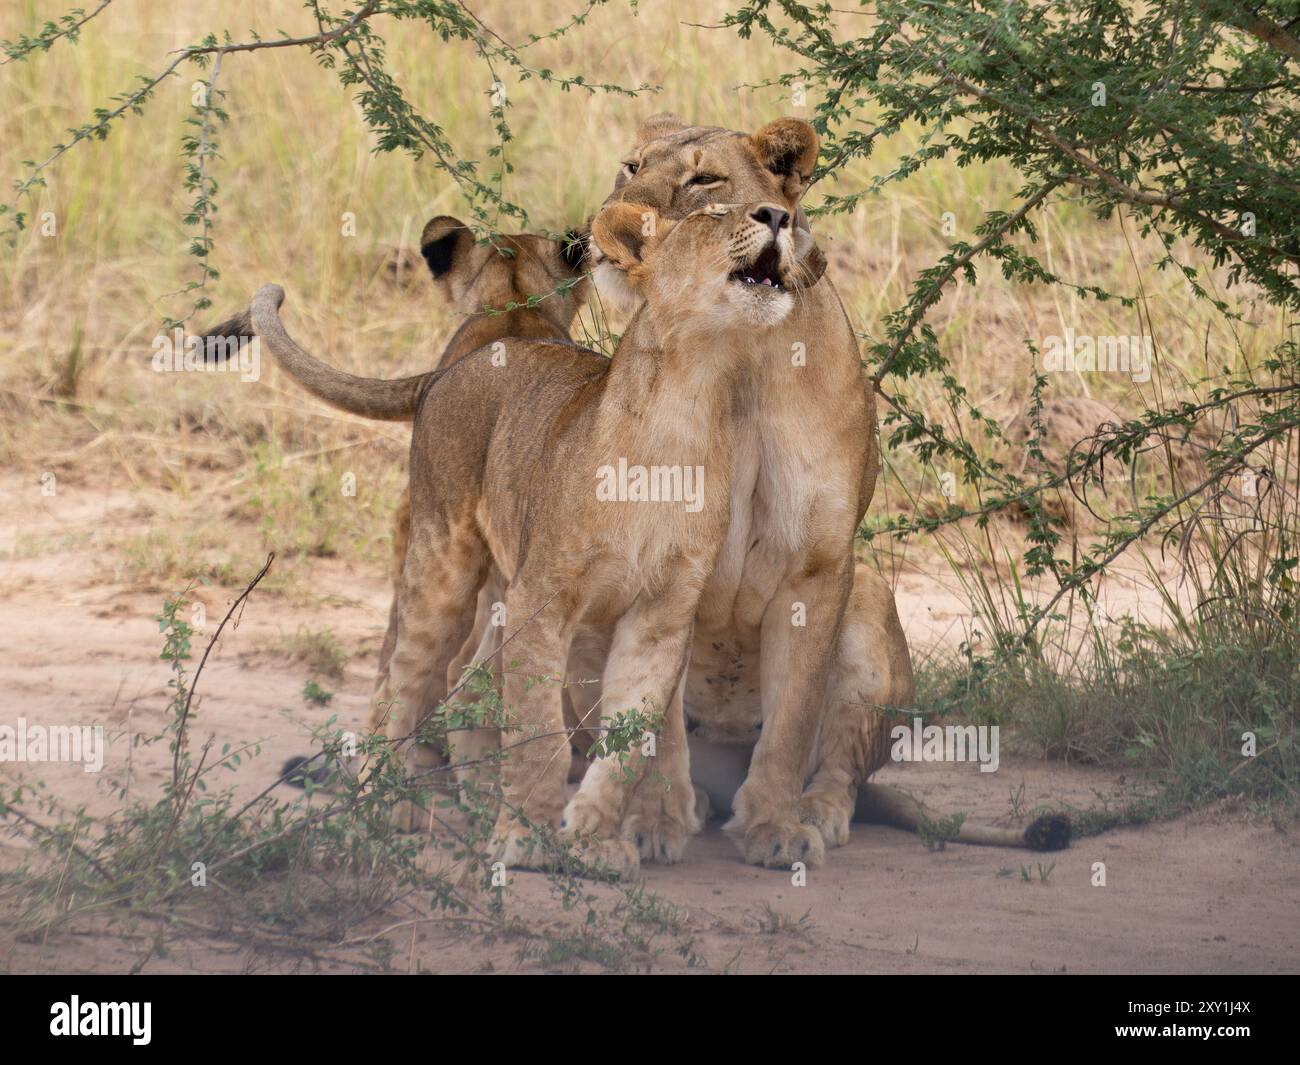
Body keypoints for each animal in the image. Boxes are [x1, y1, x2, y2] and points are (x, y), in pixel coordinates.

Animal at [216, 200, 819, 873]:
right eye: (712, 214)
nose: (778, 214)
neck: (689, 401)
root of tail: (461, 364)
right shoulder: (545, 599)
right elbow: (536, 731)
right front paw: (526, 837)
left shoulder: (661, 615)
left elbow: (627, 743)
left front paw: (593, 840)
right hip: (444, 570)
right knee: (403, 681)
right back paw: (383, 805)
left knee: (462, 690)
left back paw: (478, 802)